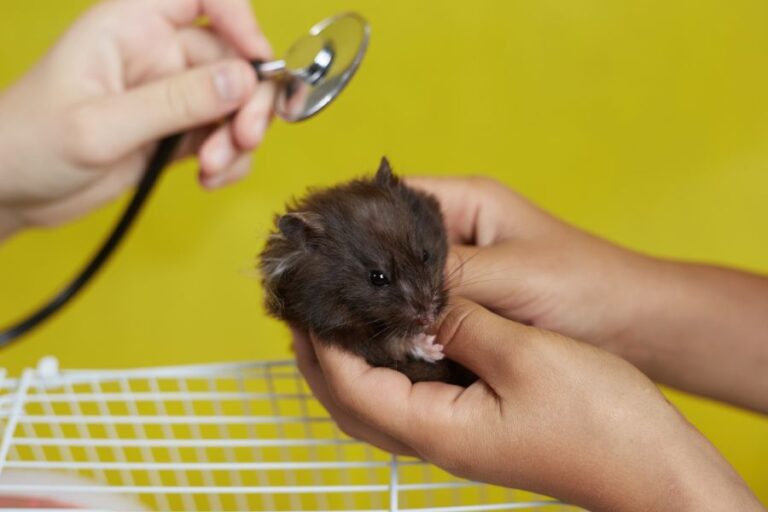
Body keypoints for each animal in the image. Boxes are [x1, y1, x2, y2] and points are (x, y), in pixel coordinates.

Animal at [259, 158, 474, 385]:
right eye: (377, 277)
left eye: (425, 255)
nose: (430, 319)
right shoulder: (333, 327)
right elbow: (389, 345)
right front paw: (434, 347)